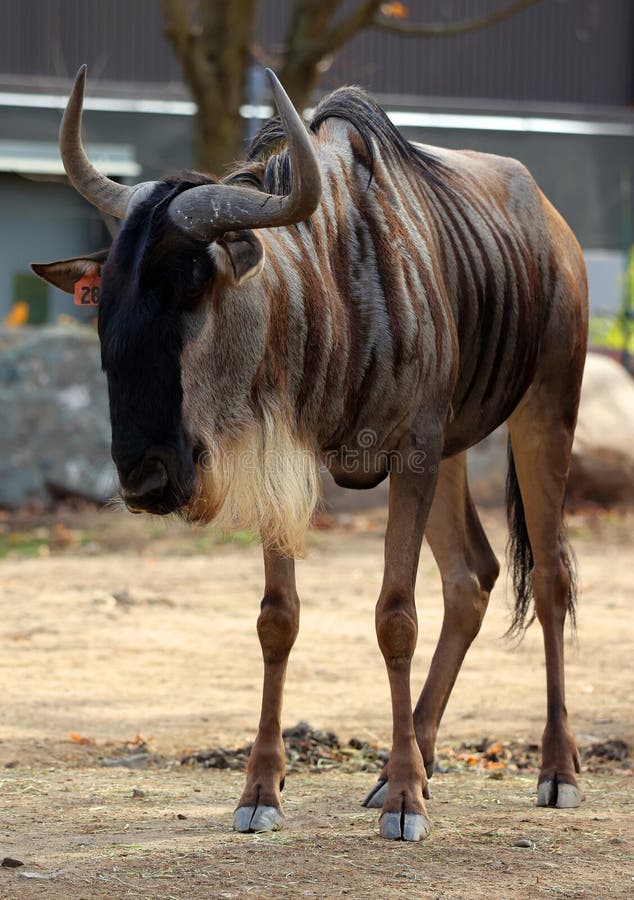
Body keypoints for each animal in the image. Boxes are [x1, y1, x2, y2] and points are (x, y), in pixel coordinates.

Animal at [33, 66, 587, 841]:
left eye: (192, 285)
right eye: (103, 303)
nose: (145, 479)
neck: (330, 295)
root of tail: (555, 226)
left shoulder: (411, 453)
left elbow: (395, 617)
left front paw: (407, 801)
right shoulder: (288, 461)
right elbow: (278, 619)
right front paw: (263, 789)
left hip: (544, 413)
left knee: (551, 578)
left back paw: (555, 770)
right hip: (453, 451)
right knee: (471, 577)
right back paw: (409, 757)